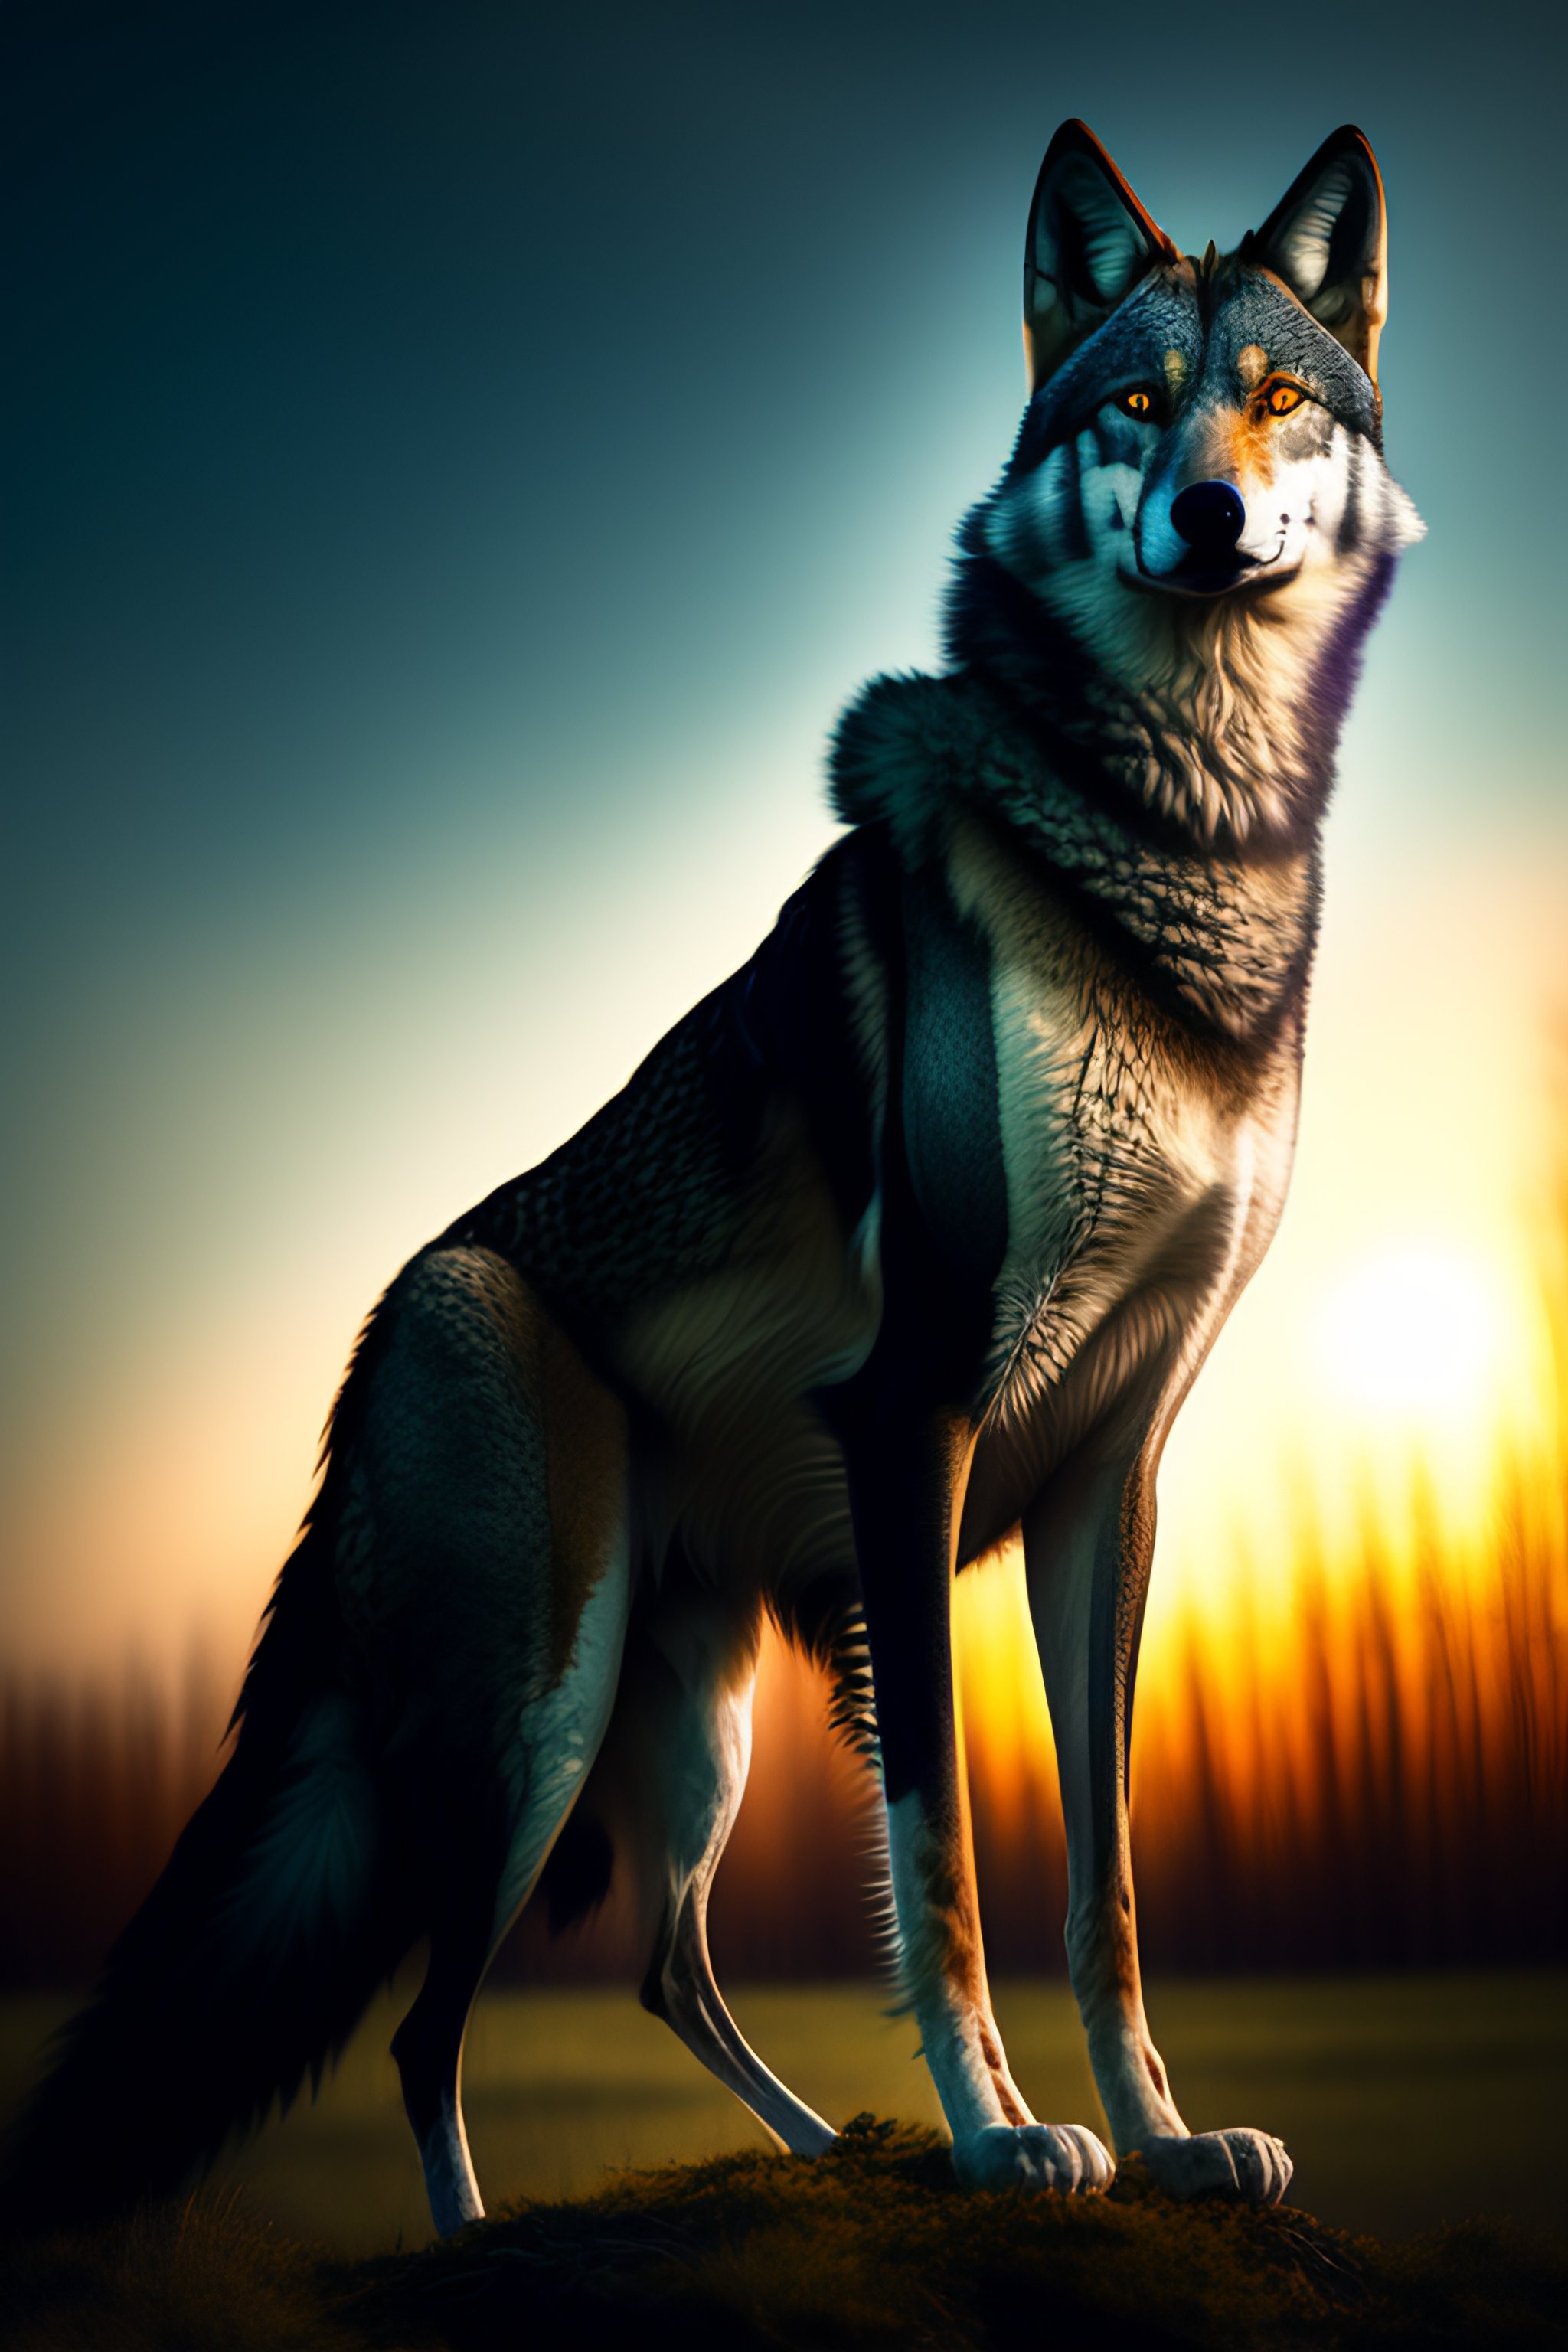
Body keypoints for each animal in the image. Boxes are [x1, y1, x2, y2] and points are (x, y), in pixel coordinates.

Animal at [7, 122, 1421, 2234]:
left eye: (1271, 399)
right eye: (1136, 406)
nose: (1205, 513)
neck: (1174, 848)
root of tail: (376, 1339)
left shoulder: (1116, 1473)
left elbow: (1102, 1886)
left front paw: (1168, 2140)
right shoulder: (917, 1417)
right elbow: (944, 1855)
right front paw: (1005, 2136)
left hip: (693, 1727)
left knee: (664, 1963)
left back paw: (829, 2152)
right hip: (545, 1713)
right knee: (428, 2027)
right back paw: (491, 2245)